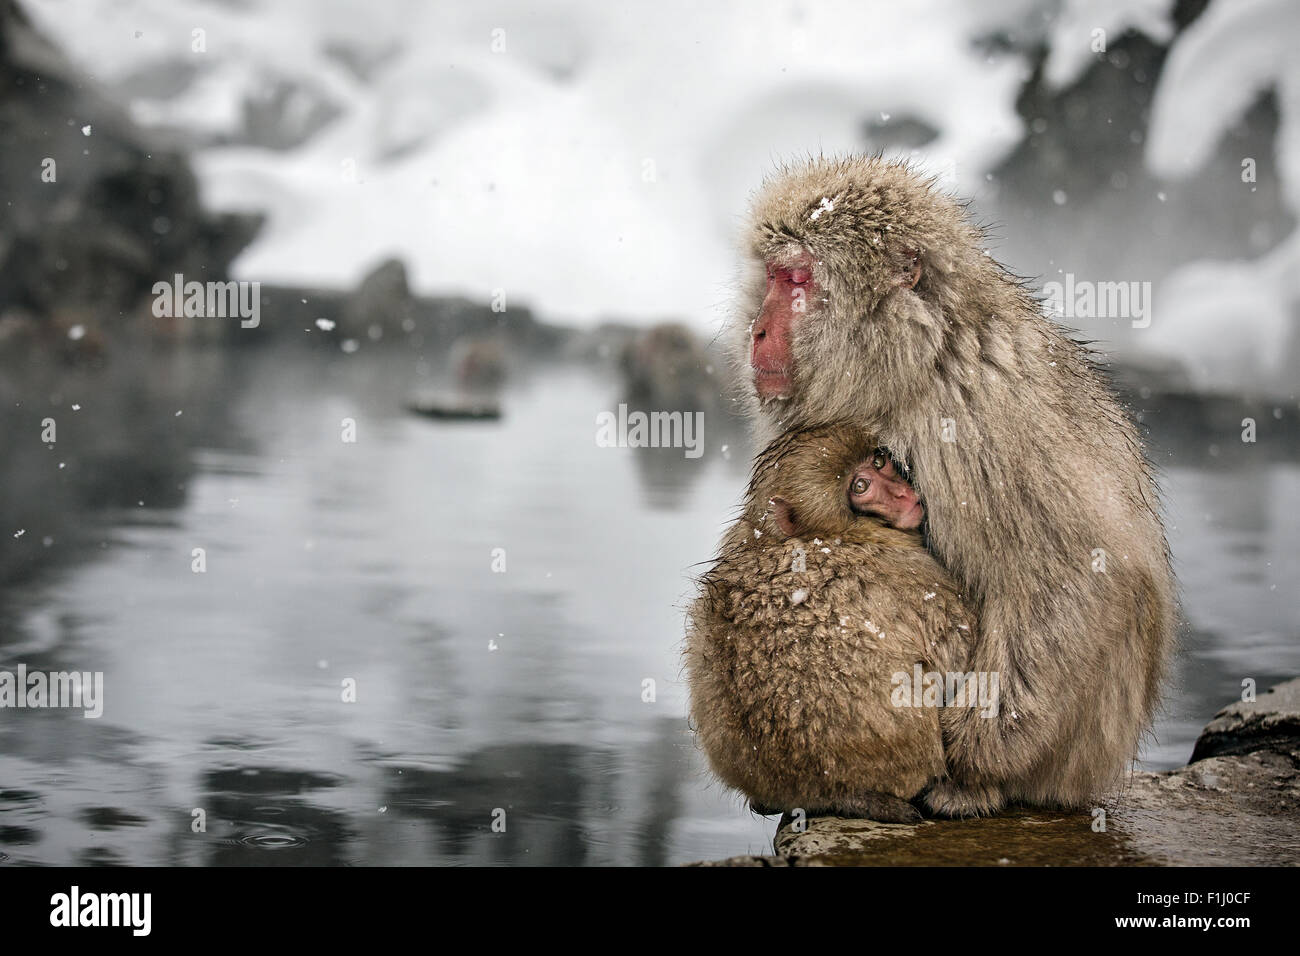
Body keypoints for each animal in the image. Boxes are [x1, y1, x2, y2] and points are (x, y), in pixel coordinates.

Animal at [685, 423, 976, 823]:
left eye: (879, 462)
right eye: (861, 487)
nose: (904, 495)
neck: (824, 534)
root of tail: (820, 790)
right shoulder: (908, 570)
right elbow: (957, 651)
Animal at [729, 155, 1177, 816]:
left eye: (796, 280)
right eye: (770, 278)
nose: (757, 332)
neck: (919, 358)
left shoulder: (975, 423)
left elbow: (1078, 573)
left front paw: (971, 759)